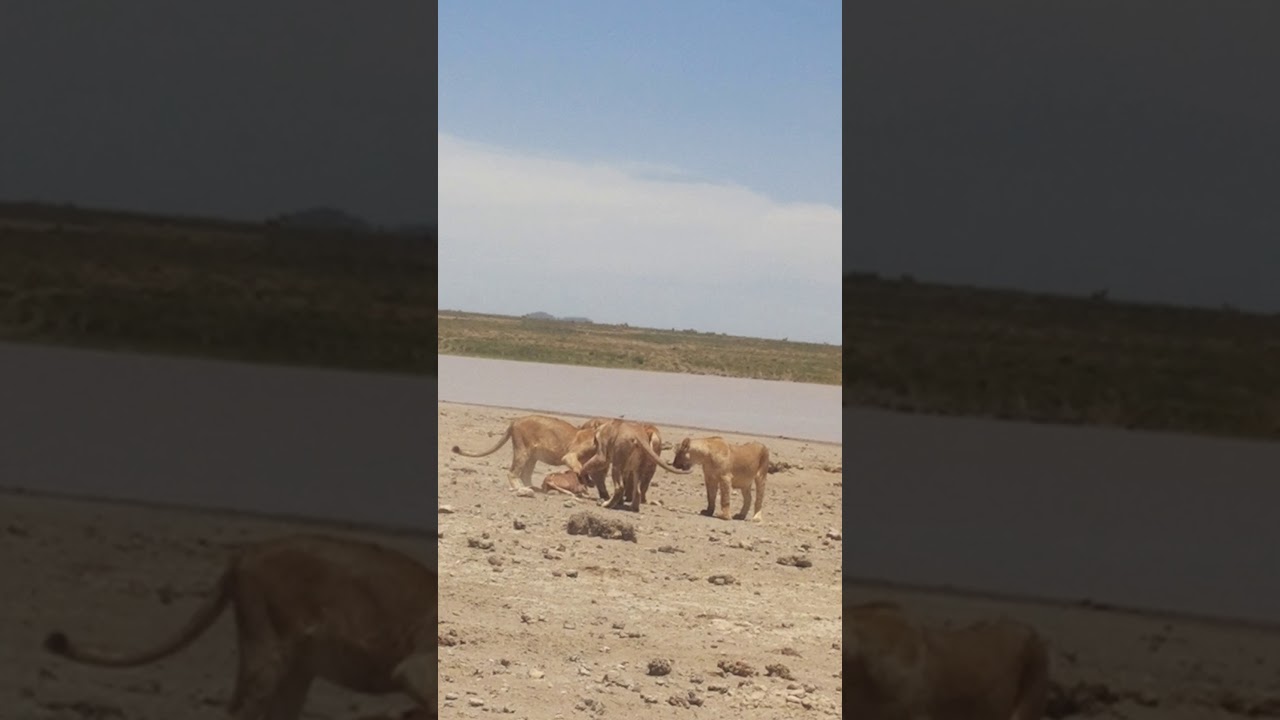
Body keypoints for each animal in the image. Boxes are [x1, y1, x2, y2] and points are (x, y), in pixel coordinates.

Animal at [451, 414, 608, 490]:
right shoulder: (569, 456)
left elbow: (584, 469)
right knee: (512, 472)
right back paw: (521, 488)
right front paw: (585, 482)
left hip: (532, 456)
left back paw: (531, 487)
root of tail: (514, 422)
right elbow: (579, 467)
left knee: (525, 474)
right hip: (523, 450)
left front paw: (589, 481)